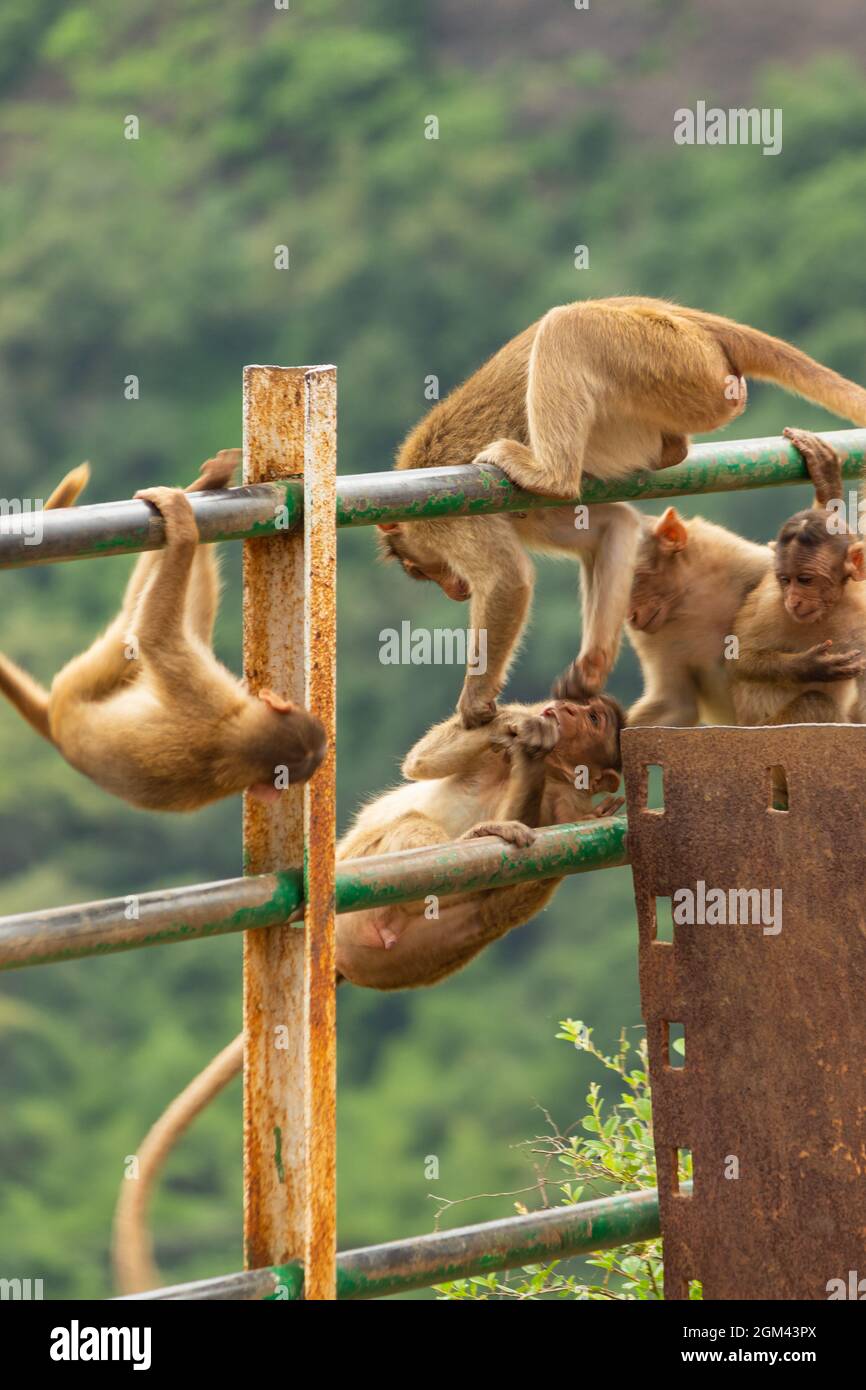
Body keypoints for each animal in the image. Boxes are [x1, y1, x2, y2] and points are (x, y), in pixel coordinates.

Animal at [0, 452, 326, 812]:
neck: (233, 743)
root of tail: (55, 728)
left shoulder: (204, 693)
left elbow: (154, 636)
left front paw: (183, 530)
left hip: (74, 685)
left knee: (132, 628)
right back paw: (206, 485)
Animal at [112, 691, 625, 1294]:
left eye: (592, 718)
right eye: (578, 707)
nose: (562, 707)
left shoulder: (569, 810)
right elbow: (425, 765)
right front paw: (520, 729)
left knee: (478, 893)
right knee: (427, 835)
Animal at [731, 429, 866, 726]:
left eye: (805, 580)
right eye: (785, 580)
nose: (793, 601)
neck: (833, 607)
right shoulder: (770, 604)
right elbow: (739, 657)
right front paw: (810, 666)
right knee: (815, 702)